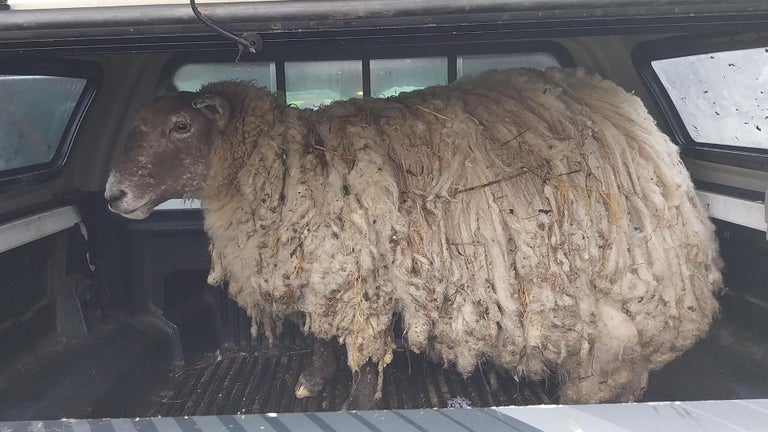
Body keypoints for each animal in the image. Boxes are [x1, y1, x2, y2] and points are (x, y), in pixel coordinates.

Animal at [105, 67, 723, 408]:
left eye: (181, 126)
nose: (113, 195)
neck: (290, 165)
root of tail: (641, 125)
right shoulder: (321, 271)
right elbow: (320, 336)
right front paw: (310, 382)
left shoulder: (360, 276)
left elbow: (359, 352)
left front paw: (355, 402)